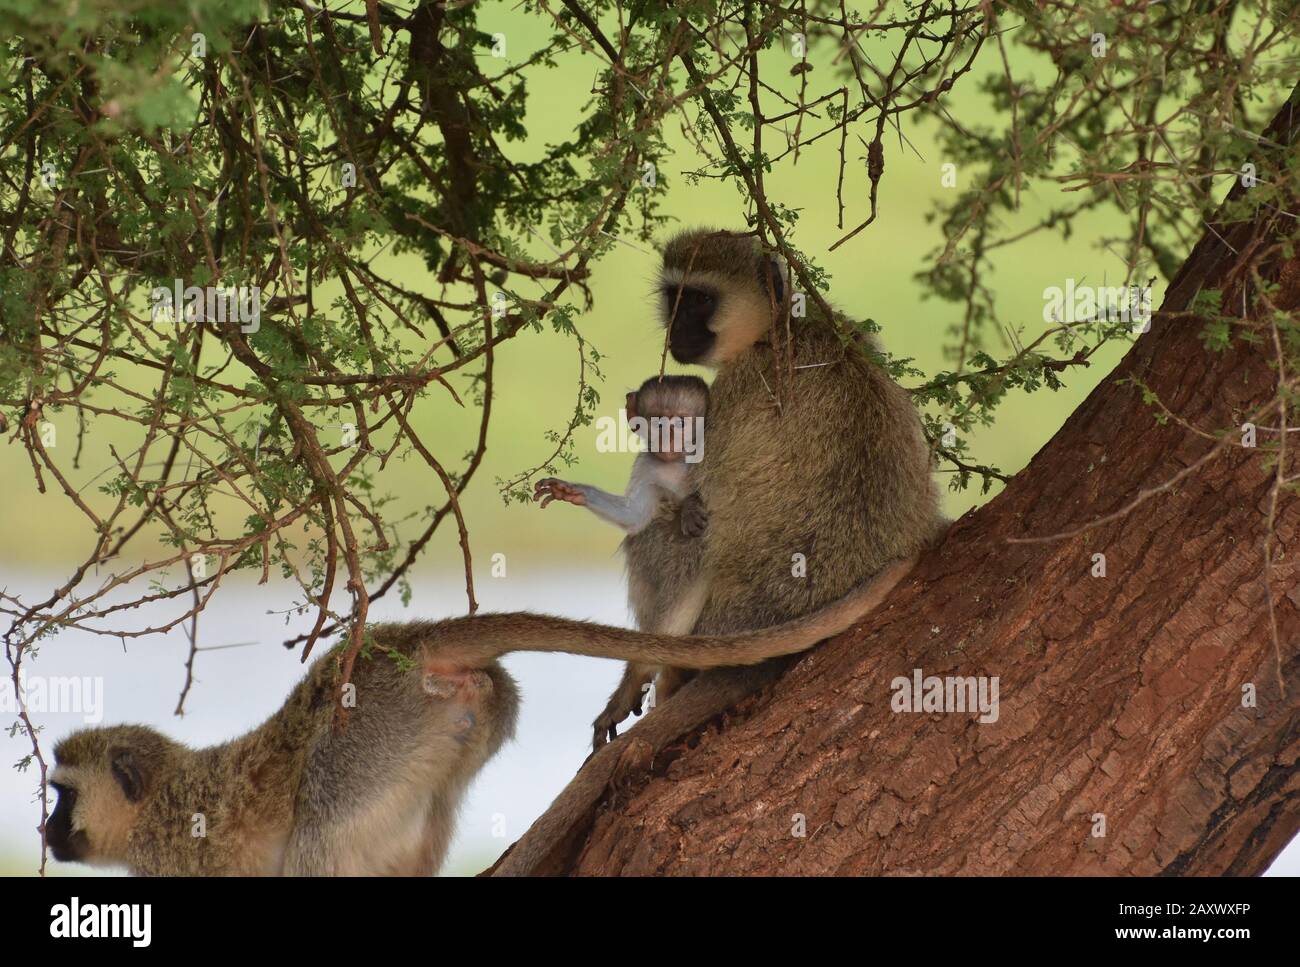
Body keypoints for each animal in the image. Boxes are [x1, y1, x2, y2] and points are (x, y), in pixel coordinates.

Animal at [533, 374, 711, 749]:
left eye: (681, 422)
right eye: (659, 422)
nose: (669, 439)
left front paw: (688, 505)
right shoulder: (647, 464)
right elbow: (635, 517)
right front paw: (573, 492)